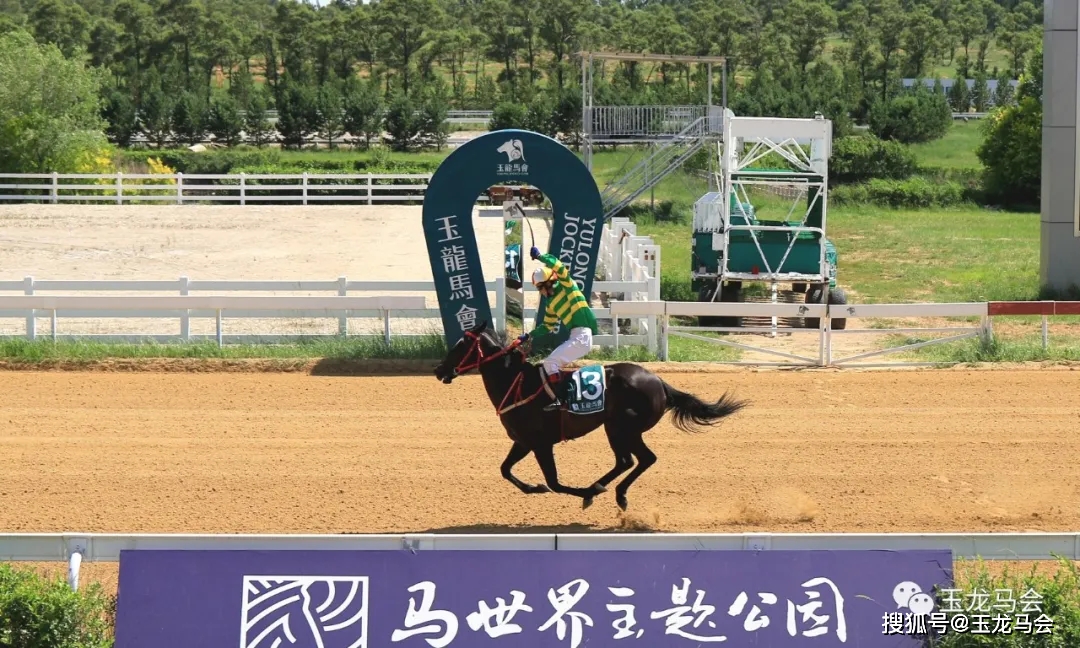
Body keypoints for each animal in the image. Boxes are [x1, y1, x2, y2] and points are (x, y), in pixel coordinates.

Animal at [433, 320, 749, 511]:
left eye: (460, 345)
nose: (438, 370)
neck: (516, 383)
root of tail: (659, 382)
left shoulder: (540, 443)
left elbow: (554, 482)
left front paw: (579, 493)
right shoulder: (522, 441)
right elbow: (505, 470)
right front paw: (535, 488)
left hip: (621, 427)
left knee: (637, 459)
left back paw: (605, 491)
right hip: (620, 429)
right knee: (632, 460)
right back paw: (610, 490)